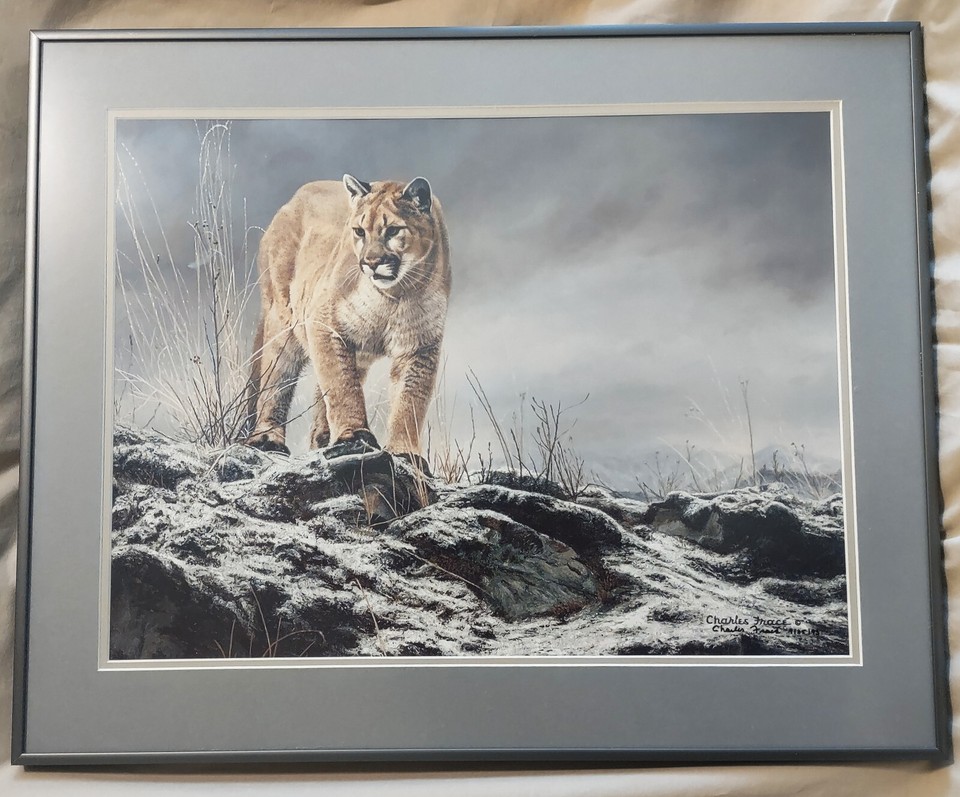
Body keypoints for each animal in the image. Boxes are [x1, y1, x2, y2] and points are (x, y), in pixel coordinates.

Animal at [244, 174, 450, 465]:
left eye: (393, 231)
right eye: (360, 231)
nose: (371, 262)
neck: (395, 294)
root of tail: (296, 197)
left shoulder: (420, 346)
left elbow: (410, 400)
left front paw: (405, 452)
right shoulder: (324, 324)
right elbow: (341, 386)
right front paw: (354, 436)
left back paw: (322, 441)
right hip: (283, 324)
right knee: (276, 380)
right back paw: (267, 440)